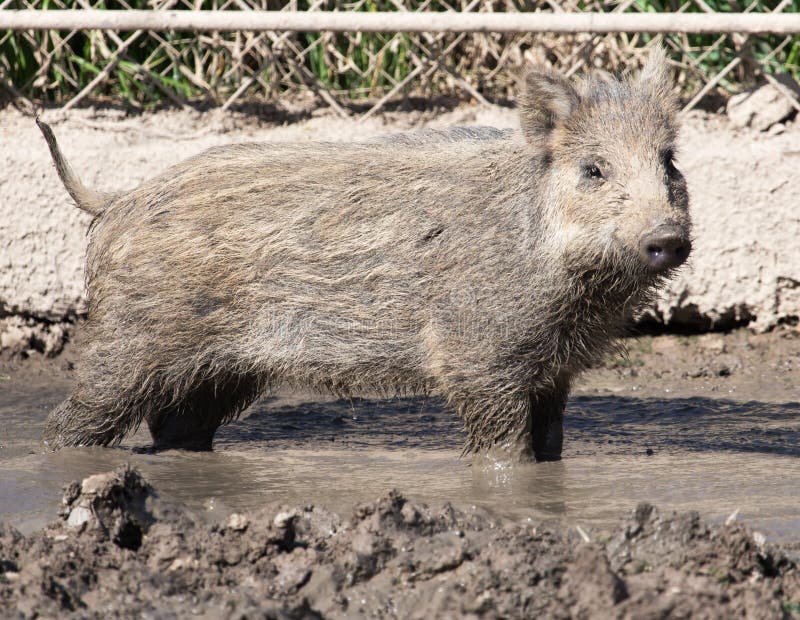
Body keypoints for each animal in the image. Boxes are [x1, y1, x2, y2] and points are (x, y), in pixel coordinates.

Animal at [38, 48, 690, 461]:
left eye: (669, 161)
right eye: (594, 169)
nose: (667, 238)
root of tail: (118, 198)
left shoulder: (554, 370)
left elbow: (552, 445)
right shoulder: (477, 355)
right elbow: (507, 450)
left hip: (226, 369)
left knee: (176, 427)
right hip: (131, 341)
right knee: (72, 422)